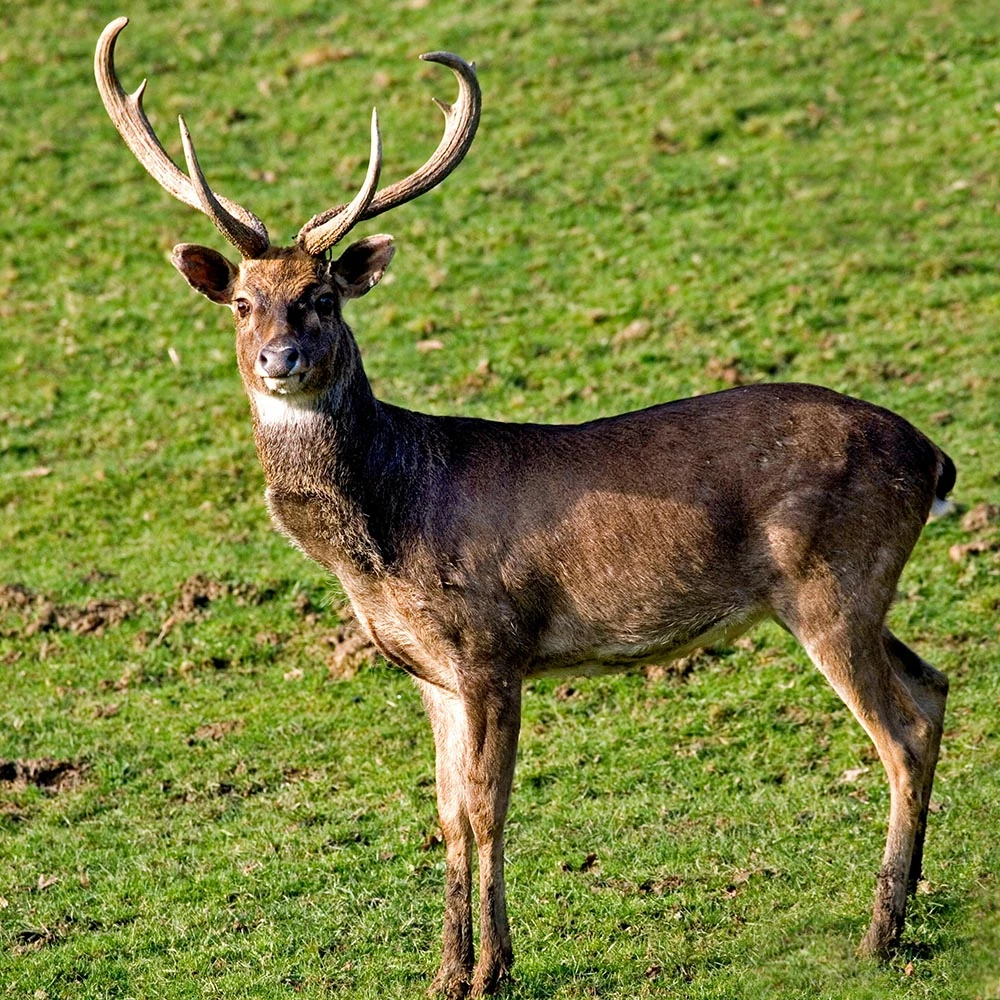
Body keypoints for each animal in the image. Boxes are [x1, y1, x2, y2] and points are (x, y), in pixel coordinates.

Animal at [96, 17, 954, 997]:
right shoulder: (429, 670)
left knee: (898, 731)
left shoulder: (494, 645)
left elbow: (487, 810)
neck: (385, 535)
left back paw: (879, 933)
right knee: (933, 687)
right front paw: (443, 973)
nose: (281, 357)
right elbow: (446, 814)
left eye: (321, 298)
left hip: (829, 580)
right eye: (242, 301)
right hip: (858, 588)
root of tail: (932, 458)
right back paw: (907, 904)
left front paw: (492, 971)